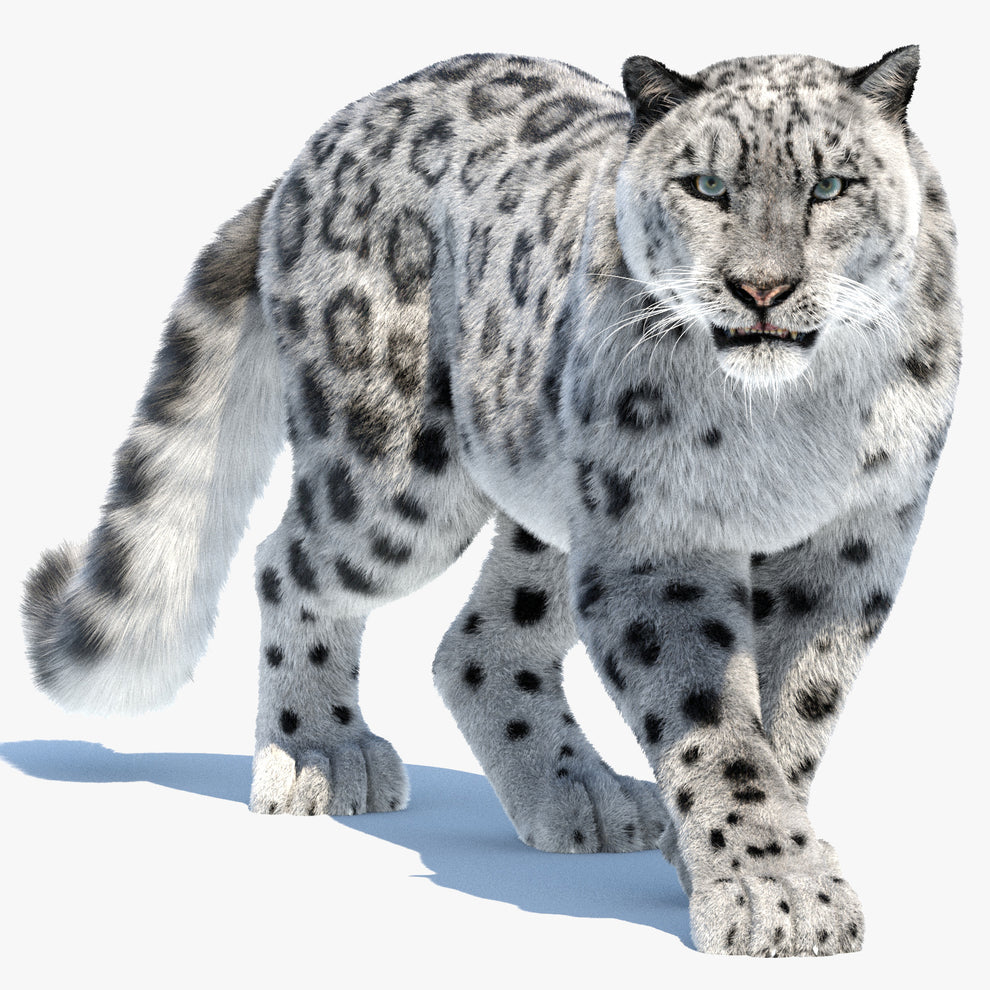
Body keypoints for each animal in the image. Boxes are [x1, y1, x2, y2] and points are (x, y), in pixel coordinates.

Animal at [22, 46, 960, 956]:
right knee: (287, 561)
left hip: (556, 495)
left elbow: (796, 710)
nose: (760, 289)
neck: (797, 416)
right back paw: (321, 750)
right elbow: (712, 720)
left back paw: (579, 793)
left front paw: (747, 864)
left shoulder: (854, 542)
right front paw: (776, 892)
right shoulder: (659, 536)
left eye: (831, 186)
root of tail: (317, 143)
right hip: (395, 477)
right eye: (705, 185)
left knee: (478, 642)